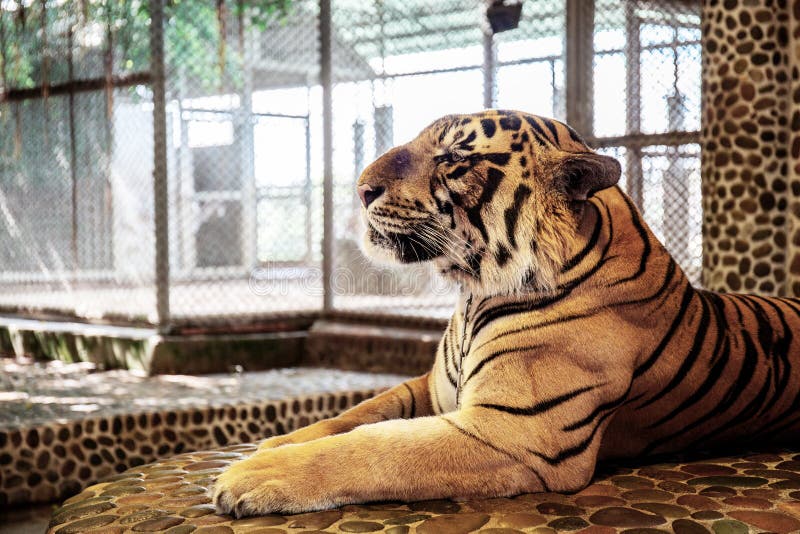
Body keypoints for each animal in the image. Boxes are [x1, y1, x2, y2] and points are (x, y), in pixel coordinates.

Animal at [213, 109, 800, 517]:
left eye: (453, 158)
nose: (361, 190)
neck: (472, 292)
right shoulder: (429, 389)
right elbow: (353, 415)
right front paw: (275, 442)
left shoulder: (514, 432)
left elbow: (375, 447)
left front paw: (253, 475)